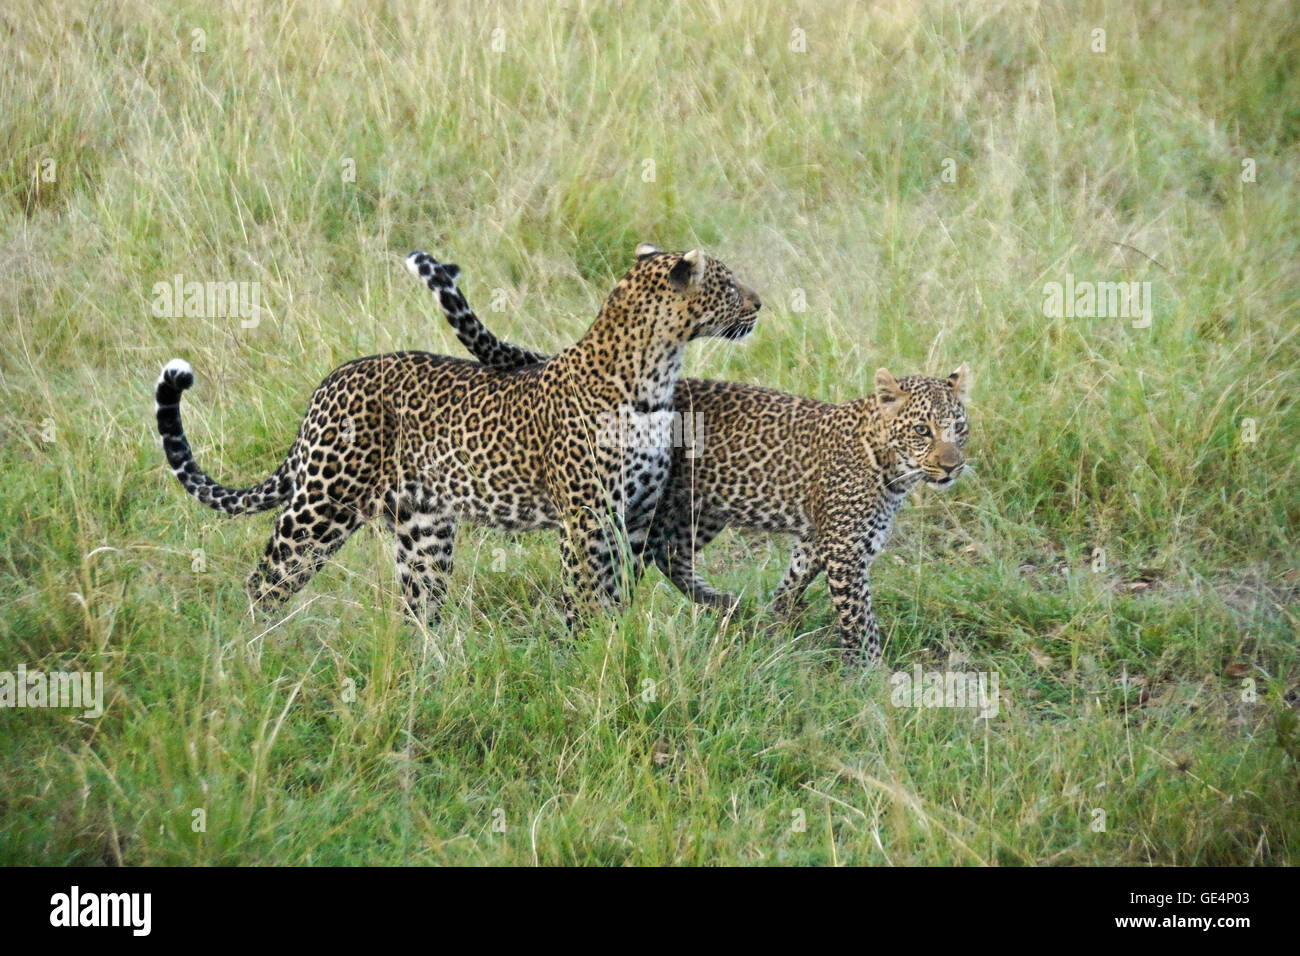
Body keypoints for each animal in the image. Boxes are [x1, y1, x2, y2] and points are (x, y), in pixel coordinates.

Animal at [154, 243, 761, 629]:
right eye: (728, 284)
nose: (760, 304)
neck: (657, 377)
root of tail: (328, 383)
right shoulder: (587, 516)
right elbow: (587, 593)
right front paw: (589, 653)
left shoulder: (635, 516)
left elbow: (620, 594)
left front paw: (618, 644)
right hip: (323, 504)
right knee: (265, 582)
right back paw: (254, 652)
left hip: (422, 528)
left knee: (418, 608)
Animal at [408, 258, 969, 665]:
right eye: (922, 431)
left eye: (958, 428)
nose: (952, 465)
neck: (890, 466)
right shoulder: (846, 551)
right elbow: (860, 621)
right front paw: (871, 676)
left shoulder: (816, 541)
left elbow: (793, 582)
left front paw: (780, 623)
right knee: (653, 560)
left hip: (689, 512)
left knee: (668, 557)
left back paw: (729, 606)